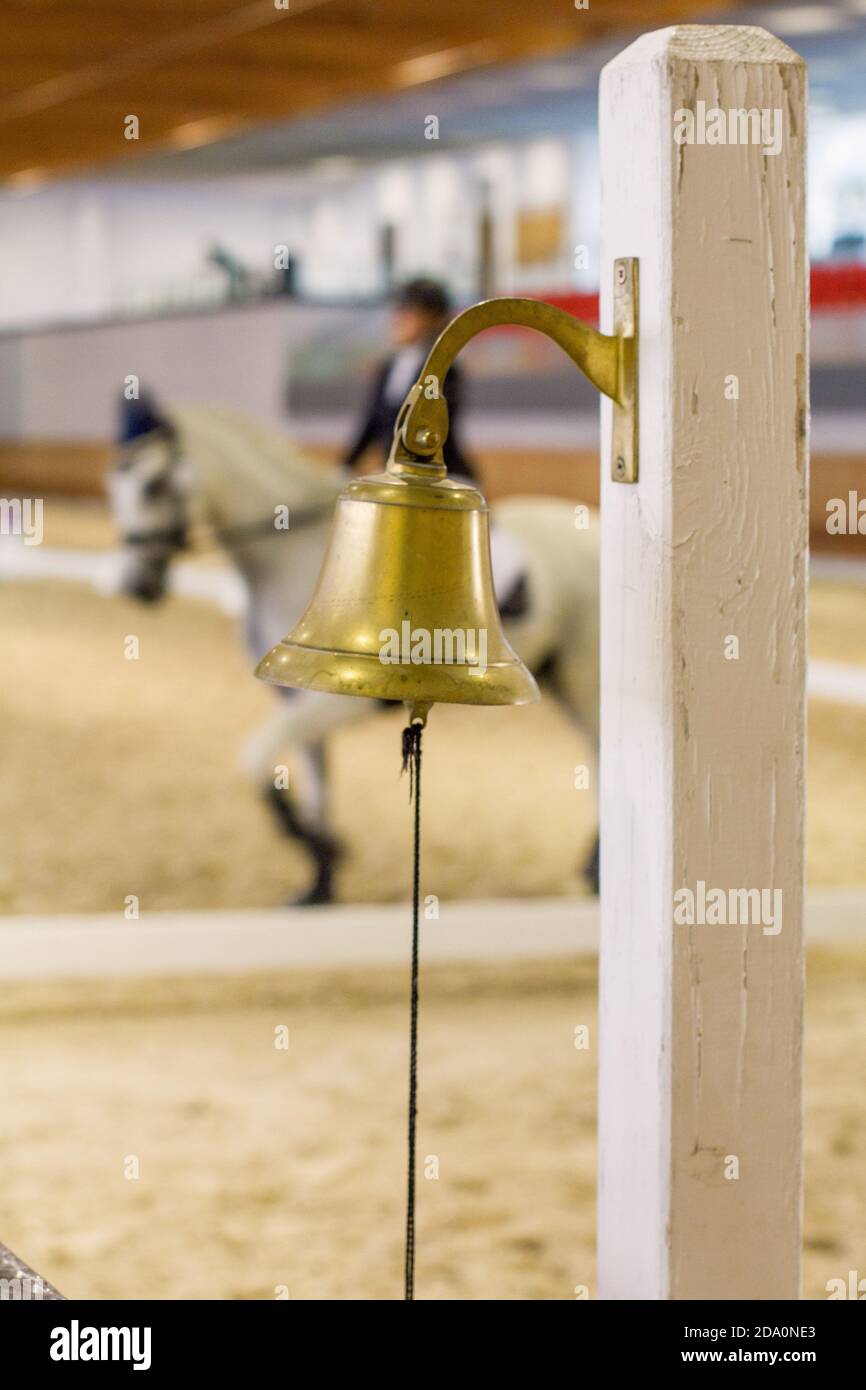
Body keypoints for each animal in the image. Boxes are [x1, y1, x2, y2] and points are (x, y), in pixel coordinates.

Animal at [107, 395, 600, 903]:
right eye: (115, 488)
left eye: (152, 485)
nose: (136, 586)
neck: (287, 555)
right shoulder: (297, 689)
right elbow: (314, 785)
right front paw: (321, 880)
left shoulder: (333, 703)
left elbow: (256, 757)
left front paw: (324, 852)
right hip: (561, 680)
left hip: (589, 679)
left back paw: (595, 873)